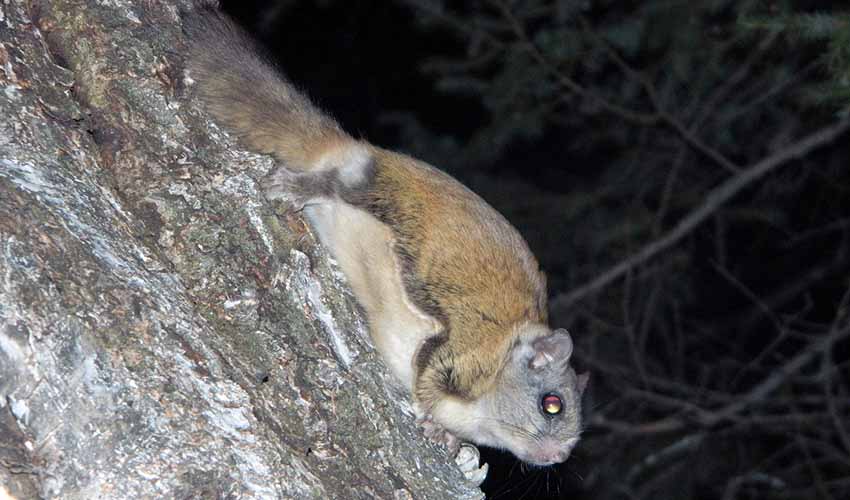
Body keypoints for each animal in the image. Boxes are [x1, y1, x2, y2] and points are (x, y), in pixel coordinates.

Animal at [183, 3, 588, 472]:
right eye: (552, 404)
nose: (560, 455)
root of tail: (355, 151)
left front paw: (452, 441)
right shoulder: (463, 353)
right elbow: (426, 376)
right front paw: (433, 422)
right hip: (378, 195)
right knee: (334, 187)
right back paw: (298, 187)